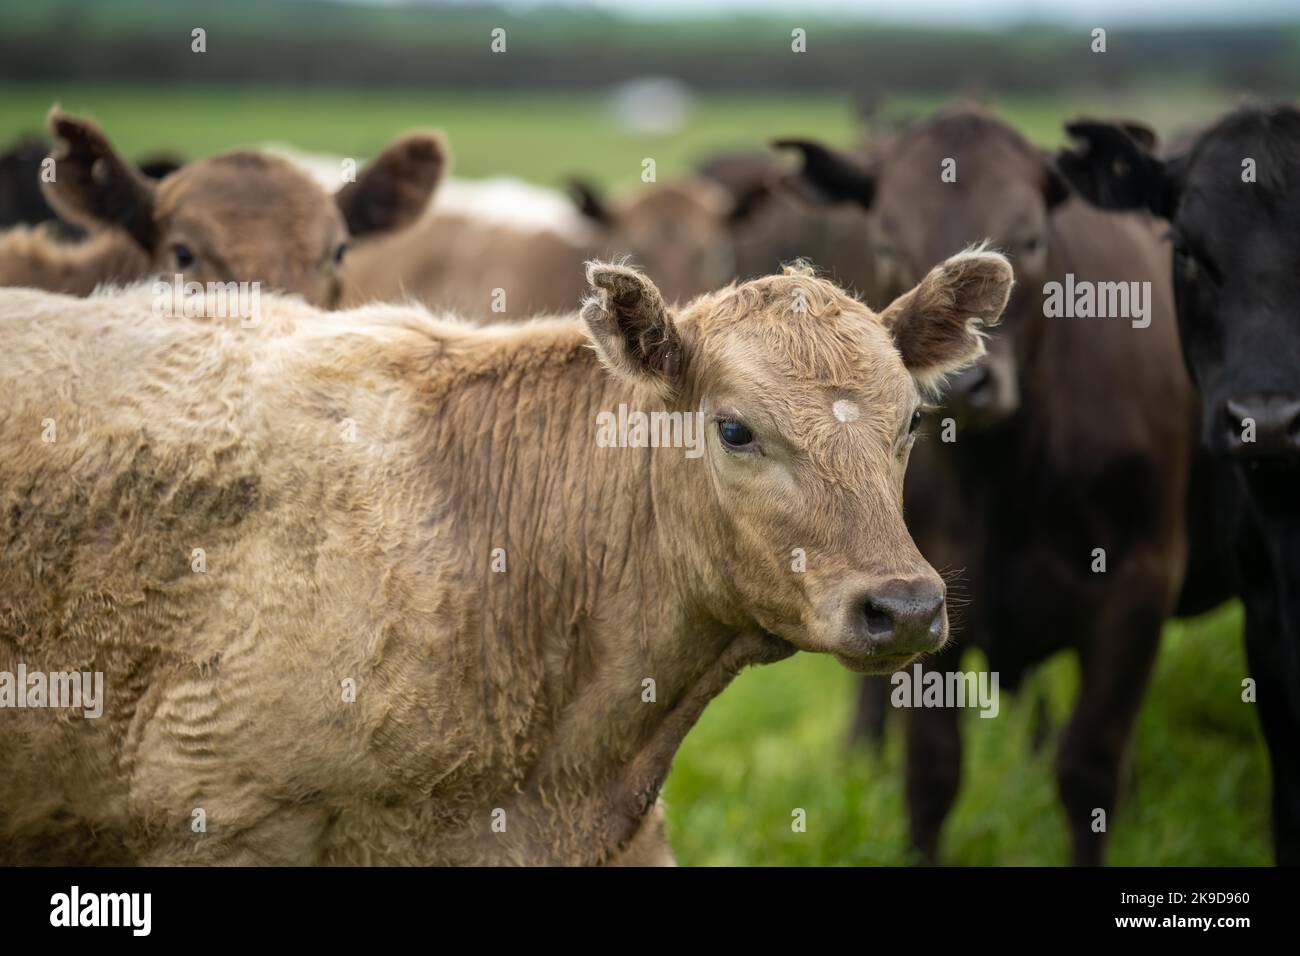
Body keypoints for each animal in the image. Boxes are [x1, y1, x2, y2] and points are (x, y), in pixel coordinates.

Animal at [778, 106, 1201, 865]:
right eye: (886, 241)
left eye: (1030, 239)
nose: (962, 382)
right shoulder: (914, 596)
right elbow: (931, 772)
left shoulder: (1141, 585)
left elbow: (1088, 769)